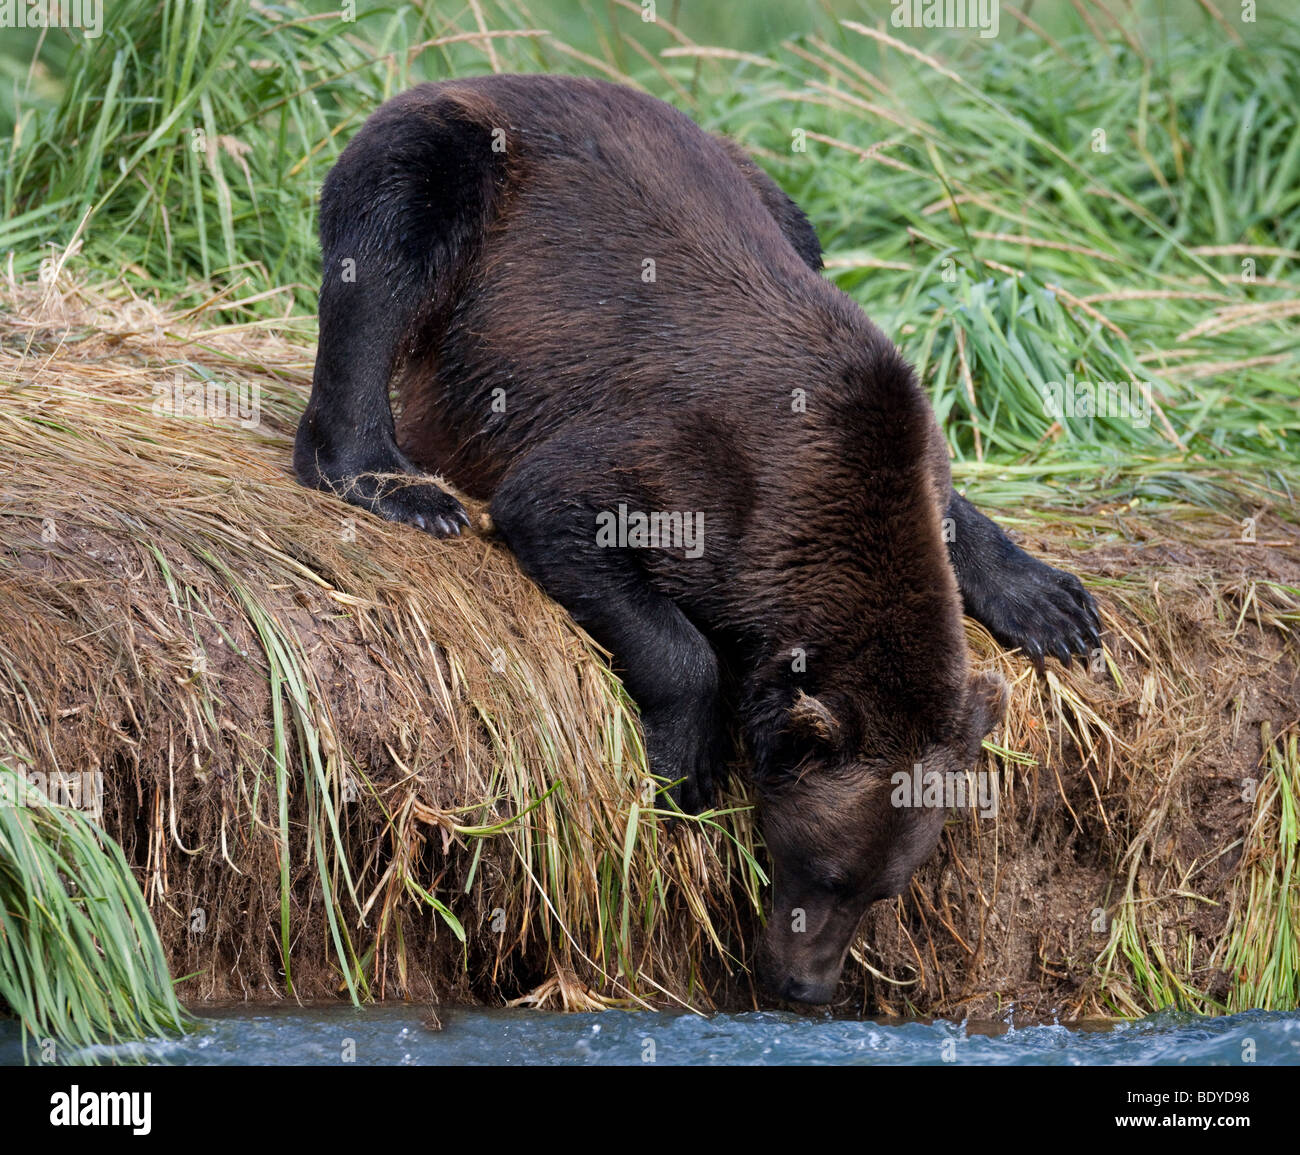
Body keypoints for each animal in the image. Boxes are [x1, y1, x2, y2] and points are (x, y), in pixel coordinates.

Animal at [293, 74, 1100, 1005]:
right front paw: (690, 761)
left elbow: (953, 516)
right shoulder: (696, 466)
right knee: (388, 252)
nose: (806, 986)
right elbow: (573, 521)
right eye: (823, 869)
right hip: (453, 168)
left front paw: (1053, 603)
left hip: (762, 187)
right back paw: (398, 485)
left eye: (885, 887)